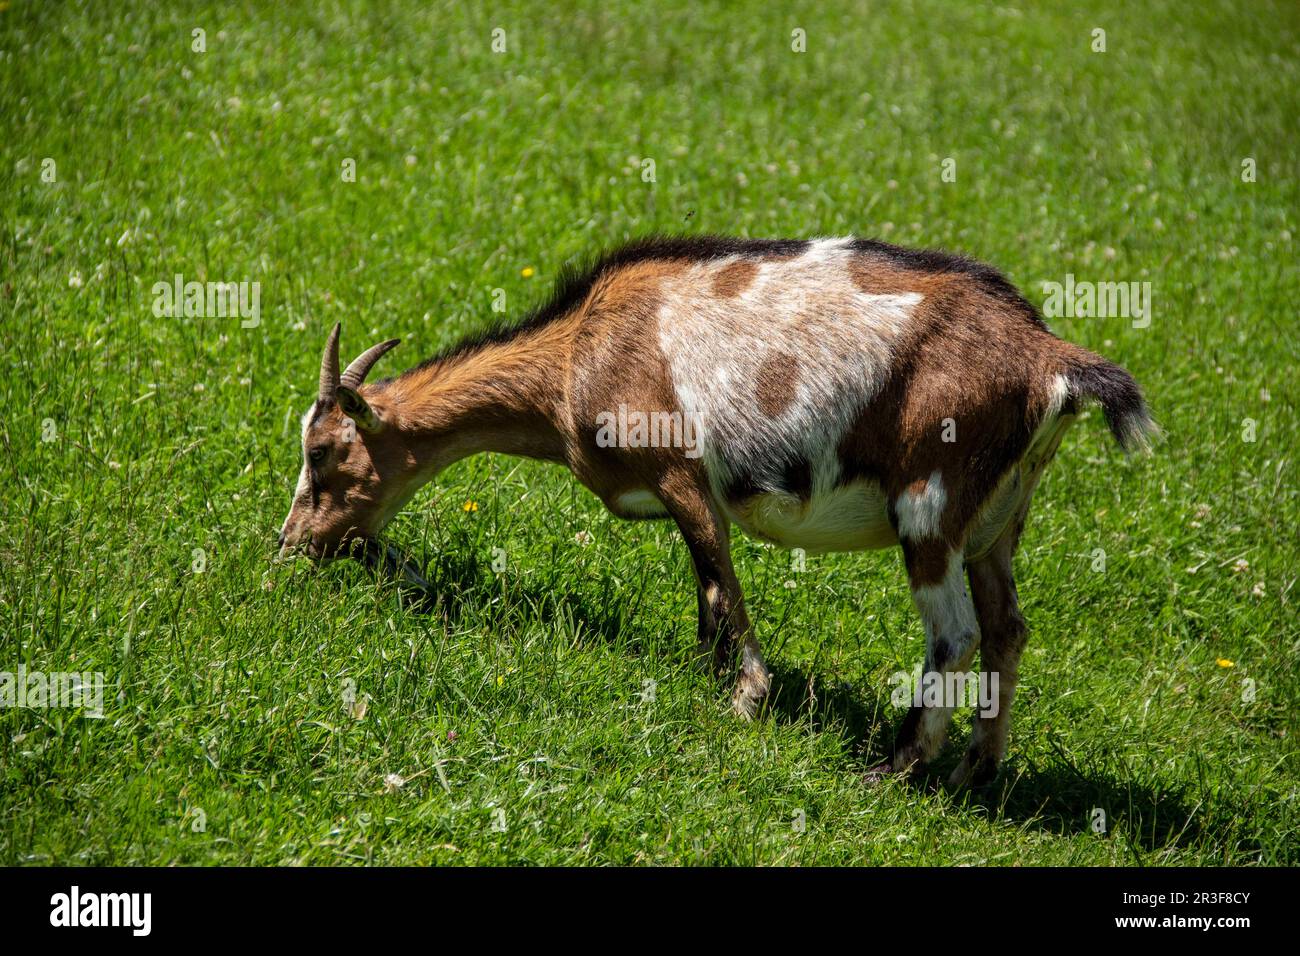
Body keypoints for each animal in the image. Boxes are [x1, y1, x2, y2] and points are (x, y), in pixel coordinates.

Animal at [278, 235, 1156, 788]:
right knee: (1007, 628)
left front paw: (743, 702)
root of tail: (1051, 359)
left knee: (957, 635)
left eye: (322, 454)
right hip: (999, 520)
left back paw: (890, 770)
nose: (291, 547)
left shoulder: (683, 474)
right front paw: (708, 690)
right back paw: (979, 771)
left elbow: (717, 587)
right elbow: (708, 604)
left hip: (929, 503)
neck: (577, 352)